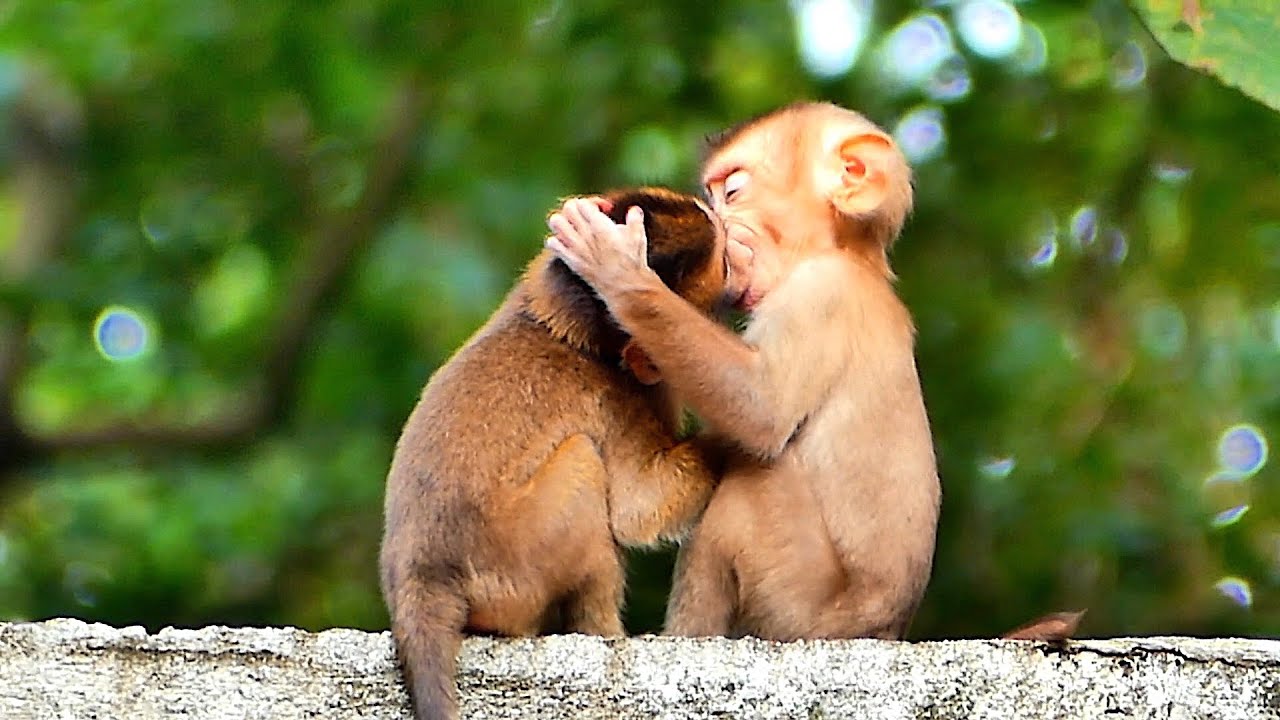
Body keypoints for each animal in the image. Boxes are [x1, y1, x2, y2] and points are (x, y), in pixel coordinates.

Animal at [379, 187, 748, 719]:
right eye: (720, 261)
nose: (717, 210)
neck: (569, 329)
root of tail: (421, 577)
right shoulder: (621, 397)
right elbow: (640, 508)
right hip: (518, 566)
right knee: (583, 462)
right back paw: (603, 632)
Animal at [547, 101, 941, 641]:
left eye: (733, 192)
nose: (718, 221)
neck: (850, 259)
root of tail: (879, 630)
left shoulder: (820, 293)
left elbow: (760, 409)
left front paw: (620, 272)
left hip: (797, 598)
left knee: (747, 484)